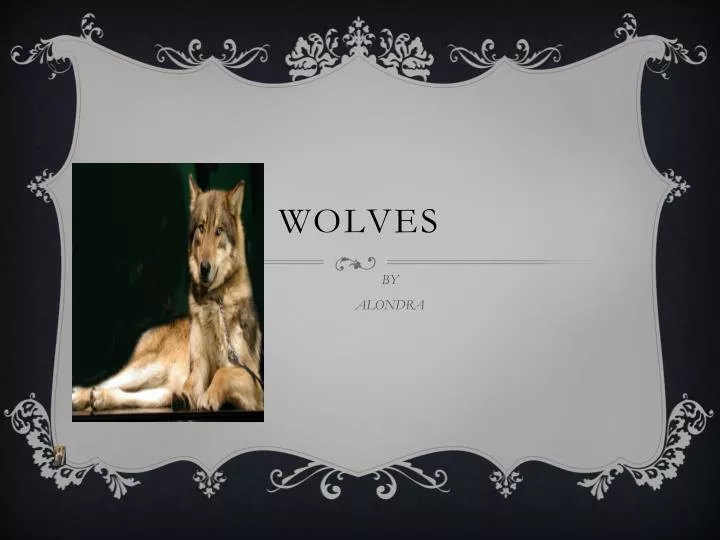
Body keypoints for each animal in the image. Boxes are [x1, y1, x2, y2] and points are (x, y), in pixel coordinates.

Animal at [72, 174, 264, 413]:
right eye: (201, 228)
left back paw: (99, 398)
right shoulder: (197, 369)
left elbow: (223, 371)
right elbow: (198, 382)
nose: (204, 267)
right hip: (146, 370)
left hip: (160, 392)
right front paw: (195, 397)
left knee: (129, 394)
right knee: (108, 381)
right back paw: (81, 396)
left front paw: (208, 398)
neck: (214, 300)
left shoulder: (254, 382)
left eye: (219, 231)